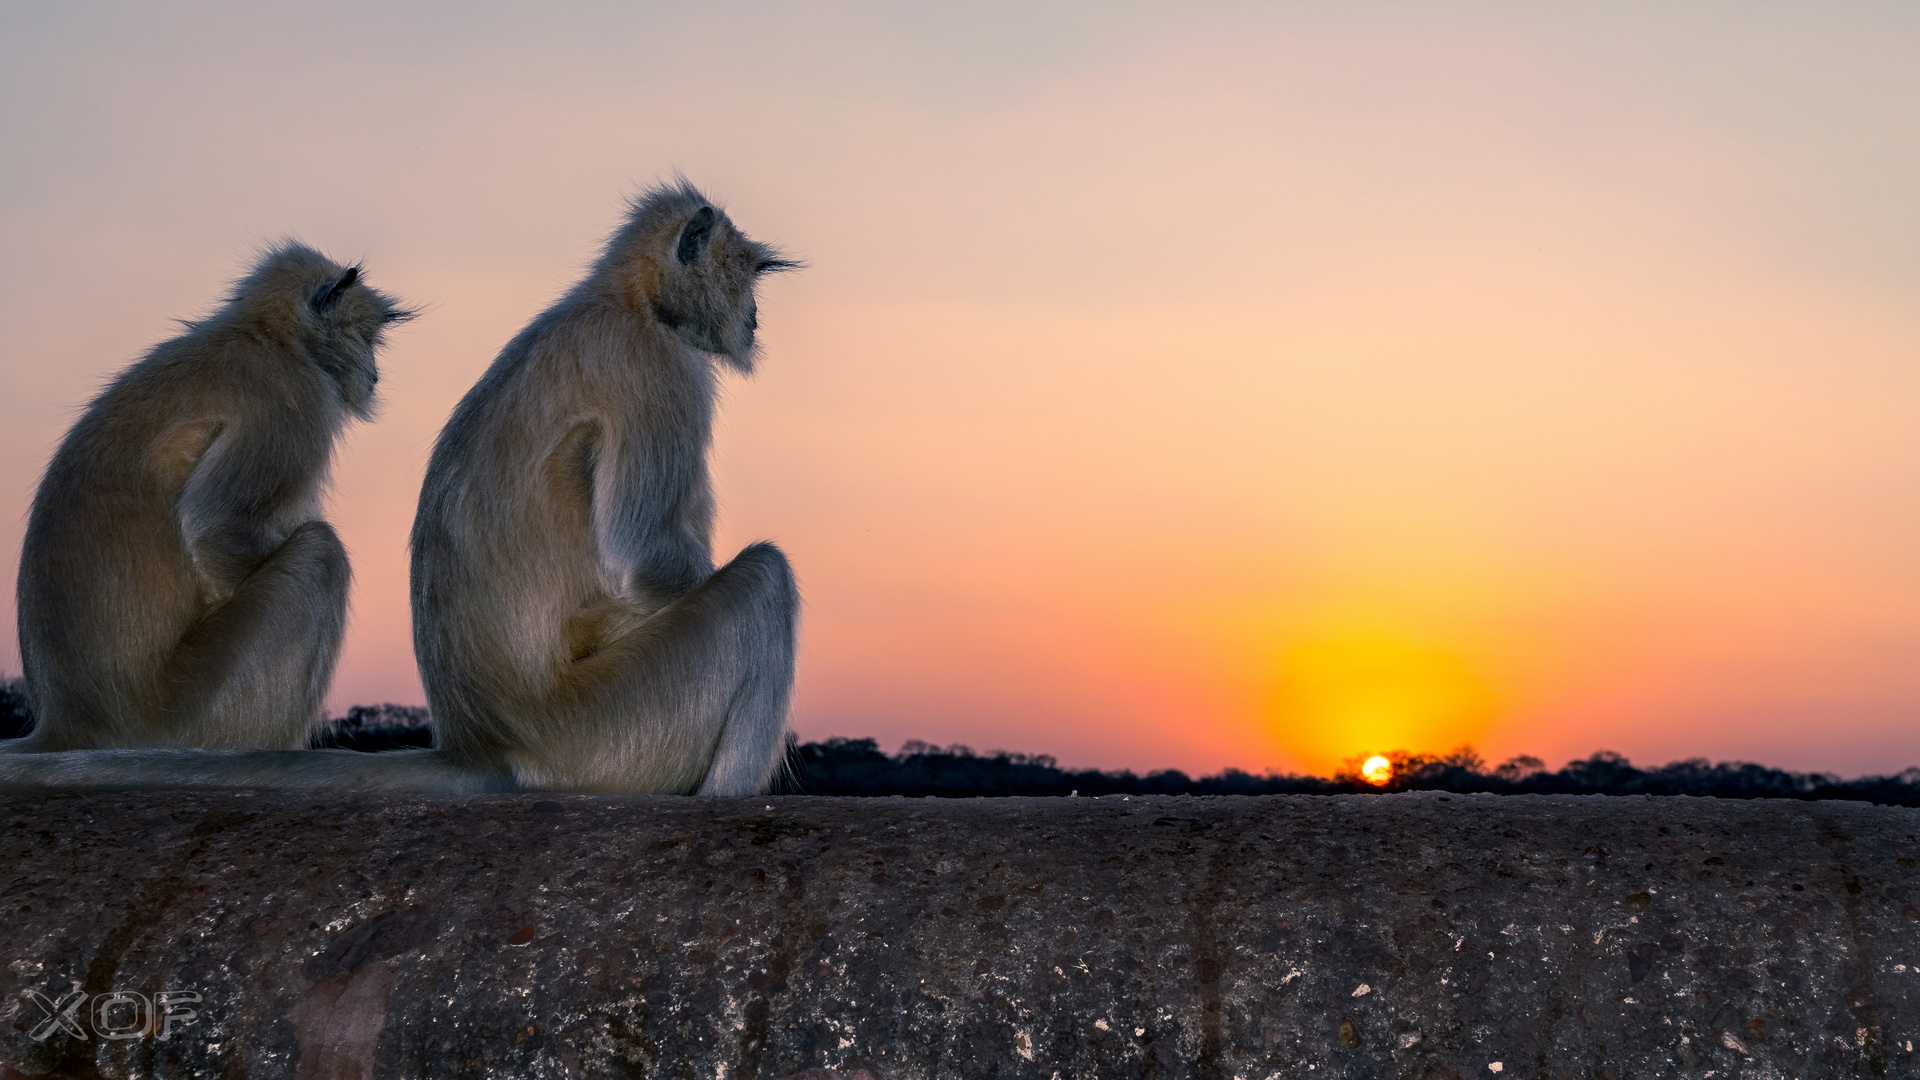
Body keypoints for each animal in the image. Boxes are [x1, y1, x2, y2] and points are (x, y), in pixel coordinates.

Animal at [4, 243, 411, 755]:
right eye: (364, 339)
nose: (374, 373)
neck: (266, 335)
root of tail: (67, 721)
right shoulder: (295, 397)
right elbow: (215, 524)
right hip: (193, 713)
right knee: (322, 551)